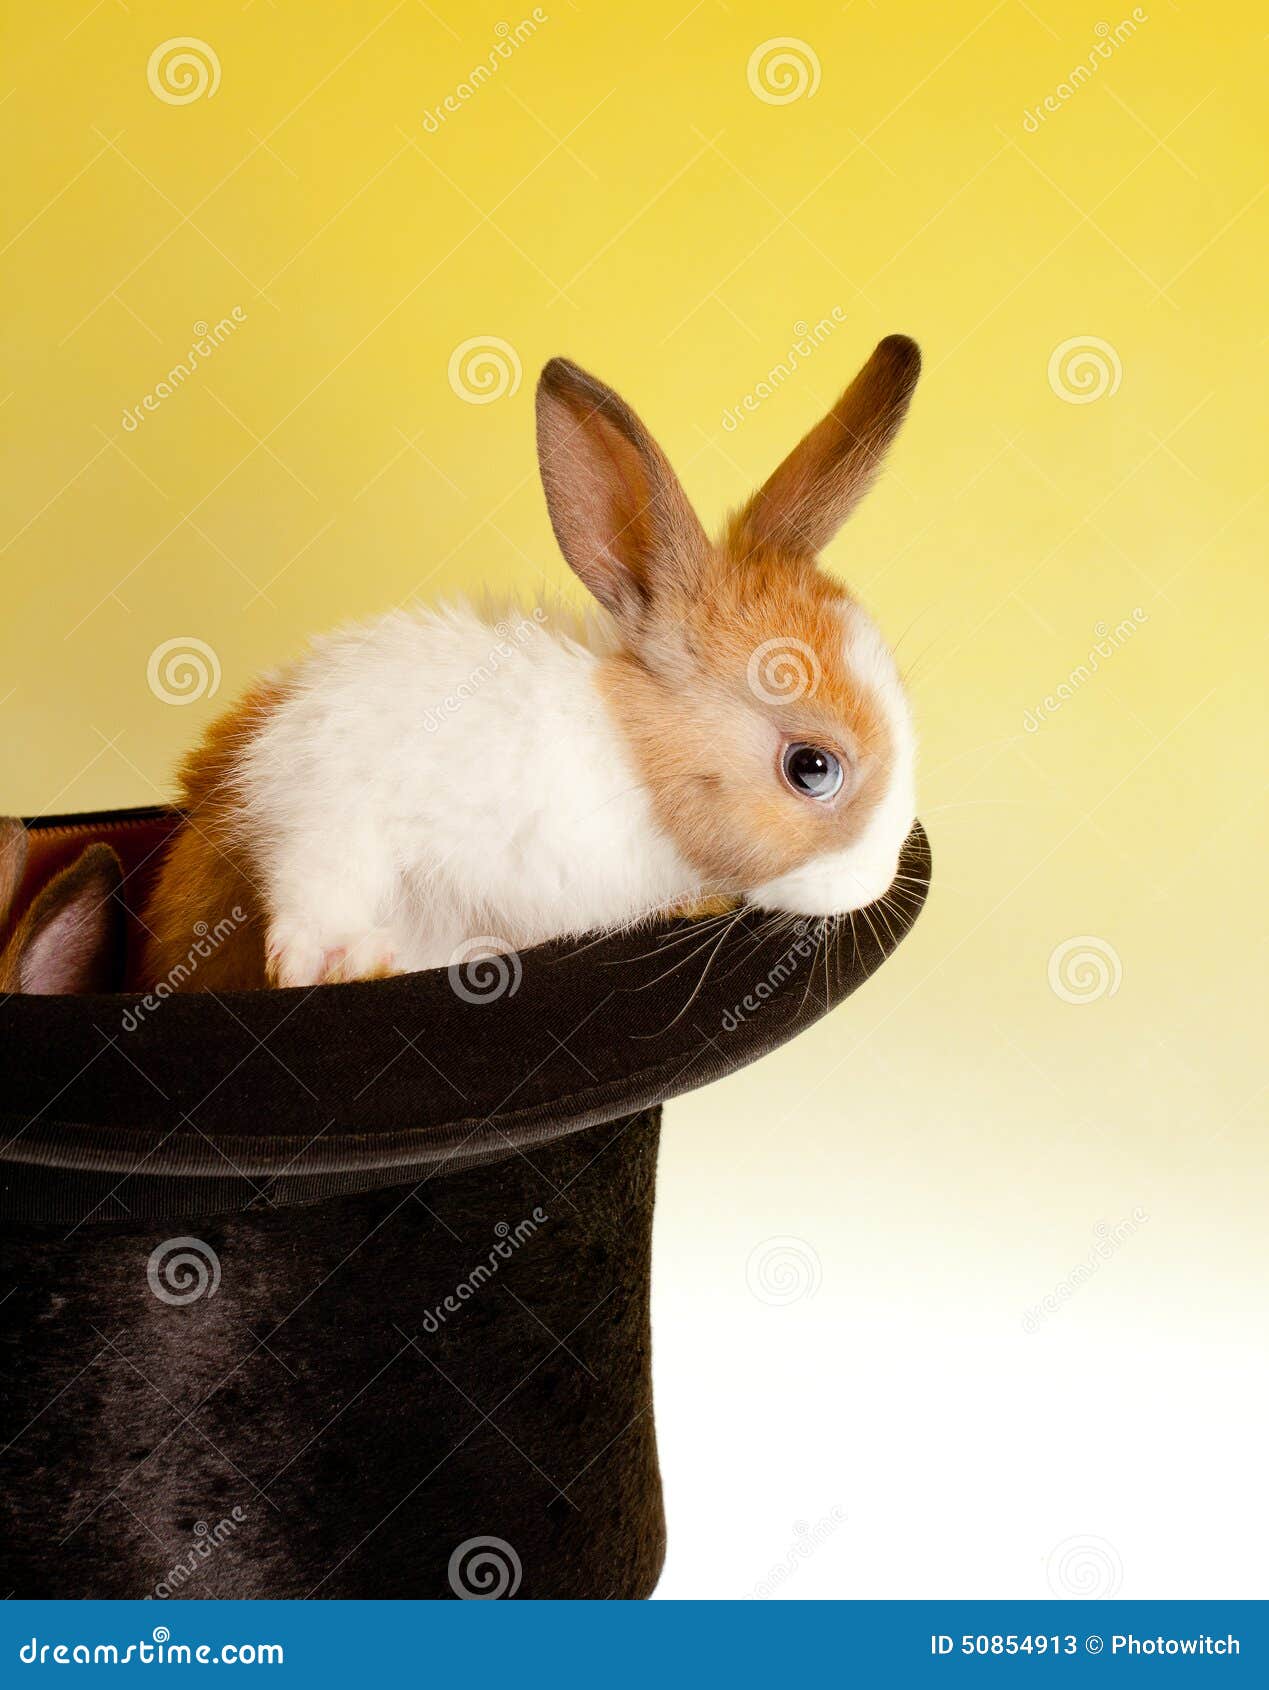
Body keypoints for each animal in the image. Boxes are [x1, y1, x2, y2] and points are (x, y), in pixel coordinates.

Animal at [139, 335, 922, 992]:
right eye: (812, 769)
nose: (876, 881)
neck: (627, 758)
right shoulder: (314, 797)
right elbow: (310, 887)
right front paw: (338, 960)